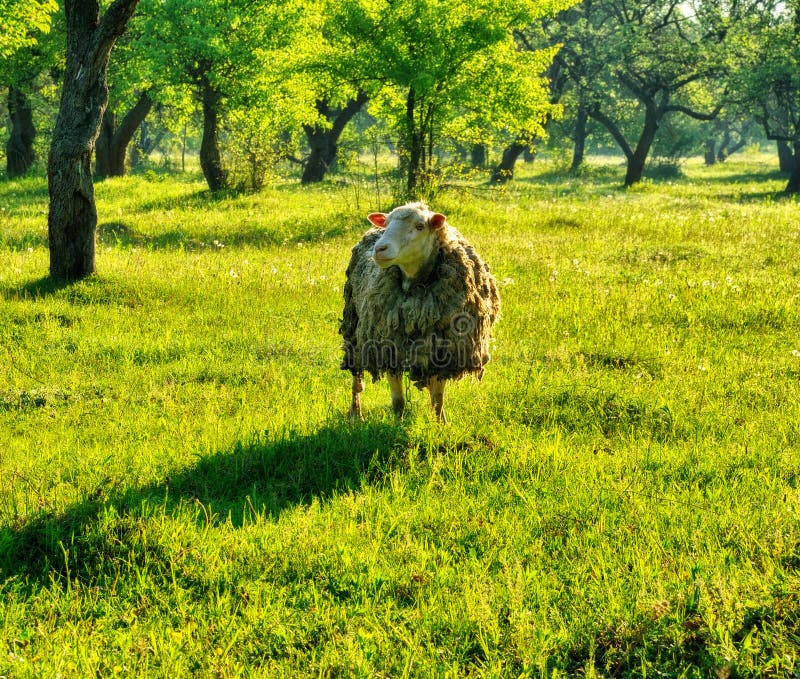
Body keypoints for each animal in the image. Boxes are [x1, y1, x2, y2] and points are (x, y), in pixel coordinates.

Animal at [339, 202, 500, 422]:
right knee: (356, 377)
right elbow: (398, 401)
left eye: (420, 226)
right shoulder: (389, 348)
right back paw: (356, 414)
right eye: (387, 223)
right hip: (353, 322)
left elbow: (437, 399)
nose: (380, 249)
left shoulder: (443, 353)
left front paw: (439, 424)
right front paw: (397, 424)